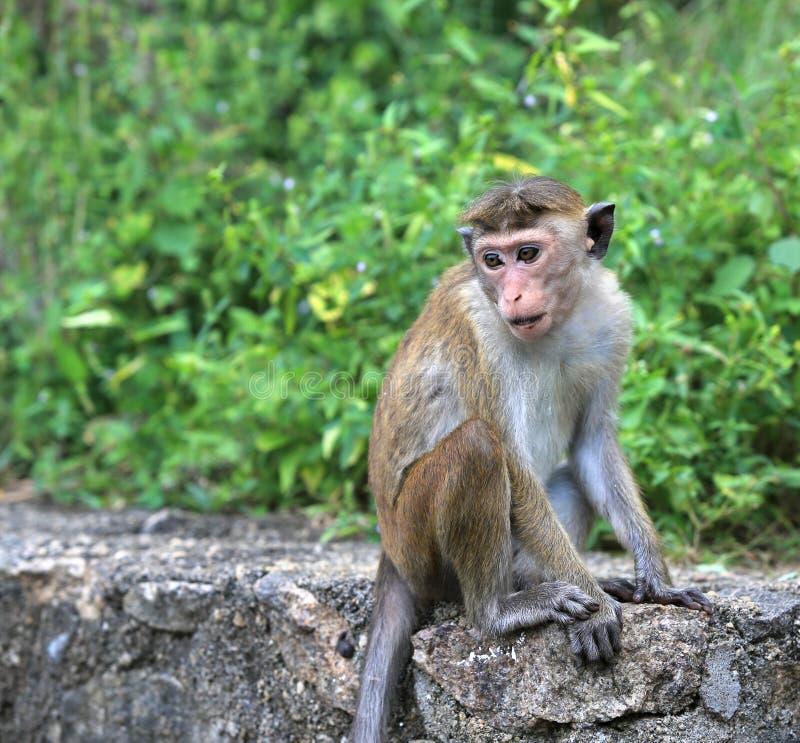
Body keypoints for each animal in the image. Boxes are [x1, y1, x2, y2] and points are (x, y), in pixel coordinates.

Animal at [350, 176, 712, 742]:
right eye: (492, 260)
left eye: (527, 253)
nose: (512, 293)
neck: (557, 322)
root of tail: (390, 550)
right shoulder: (476, 329)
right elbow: (515, 469)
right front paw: (594, 606)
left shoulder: (613, 316)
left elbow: (591, 445)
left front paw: (657, 582)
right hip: (419, 547)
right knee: (477, 447)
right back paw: (501, 610)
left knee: (570, 480)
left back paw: (540, 582)